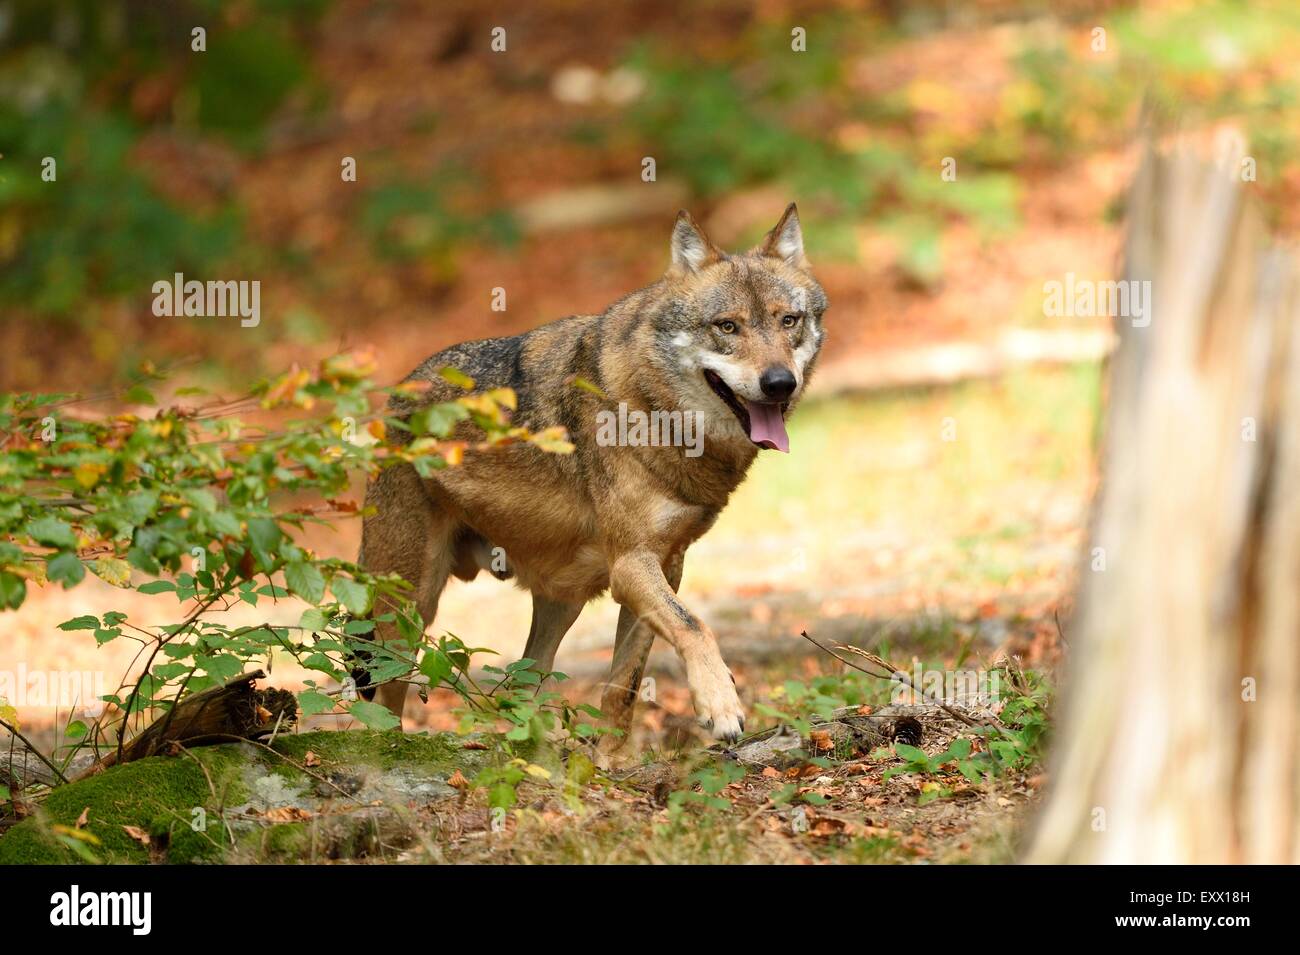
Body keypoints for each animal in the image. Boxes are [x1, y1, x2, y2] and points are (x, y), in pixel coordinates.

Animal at [356, 204, 827, 760]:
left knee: (519, 690)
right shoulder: (631, 565)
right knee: (383, 693)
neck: (660, 414)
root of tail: (398, 392)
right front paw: (721, 706)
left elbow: (624, 686)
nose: (779, 383)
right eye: (727, 327)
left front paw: (611, 761)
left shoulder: (667, 567)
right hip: (407, 607)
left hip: (561, 602)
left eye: (788, 321)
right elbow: (695, 626)